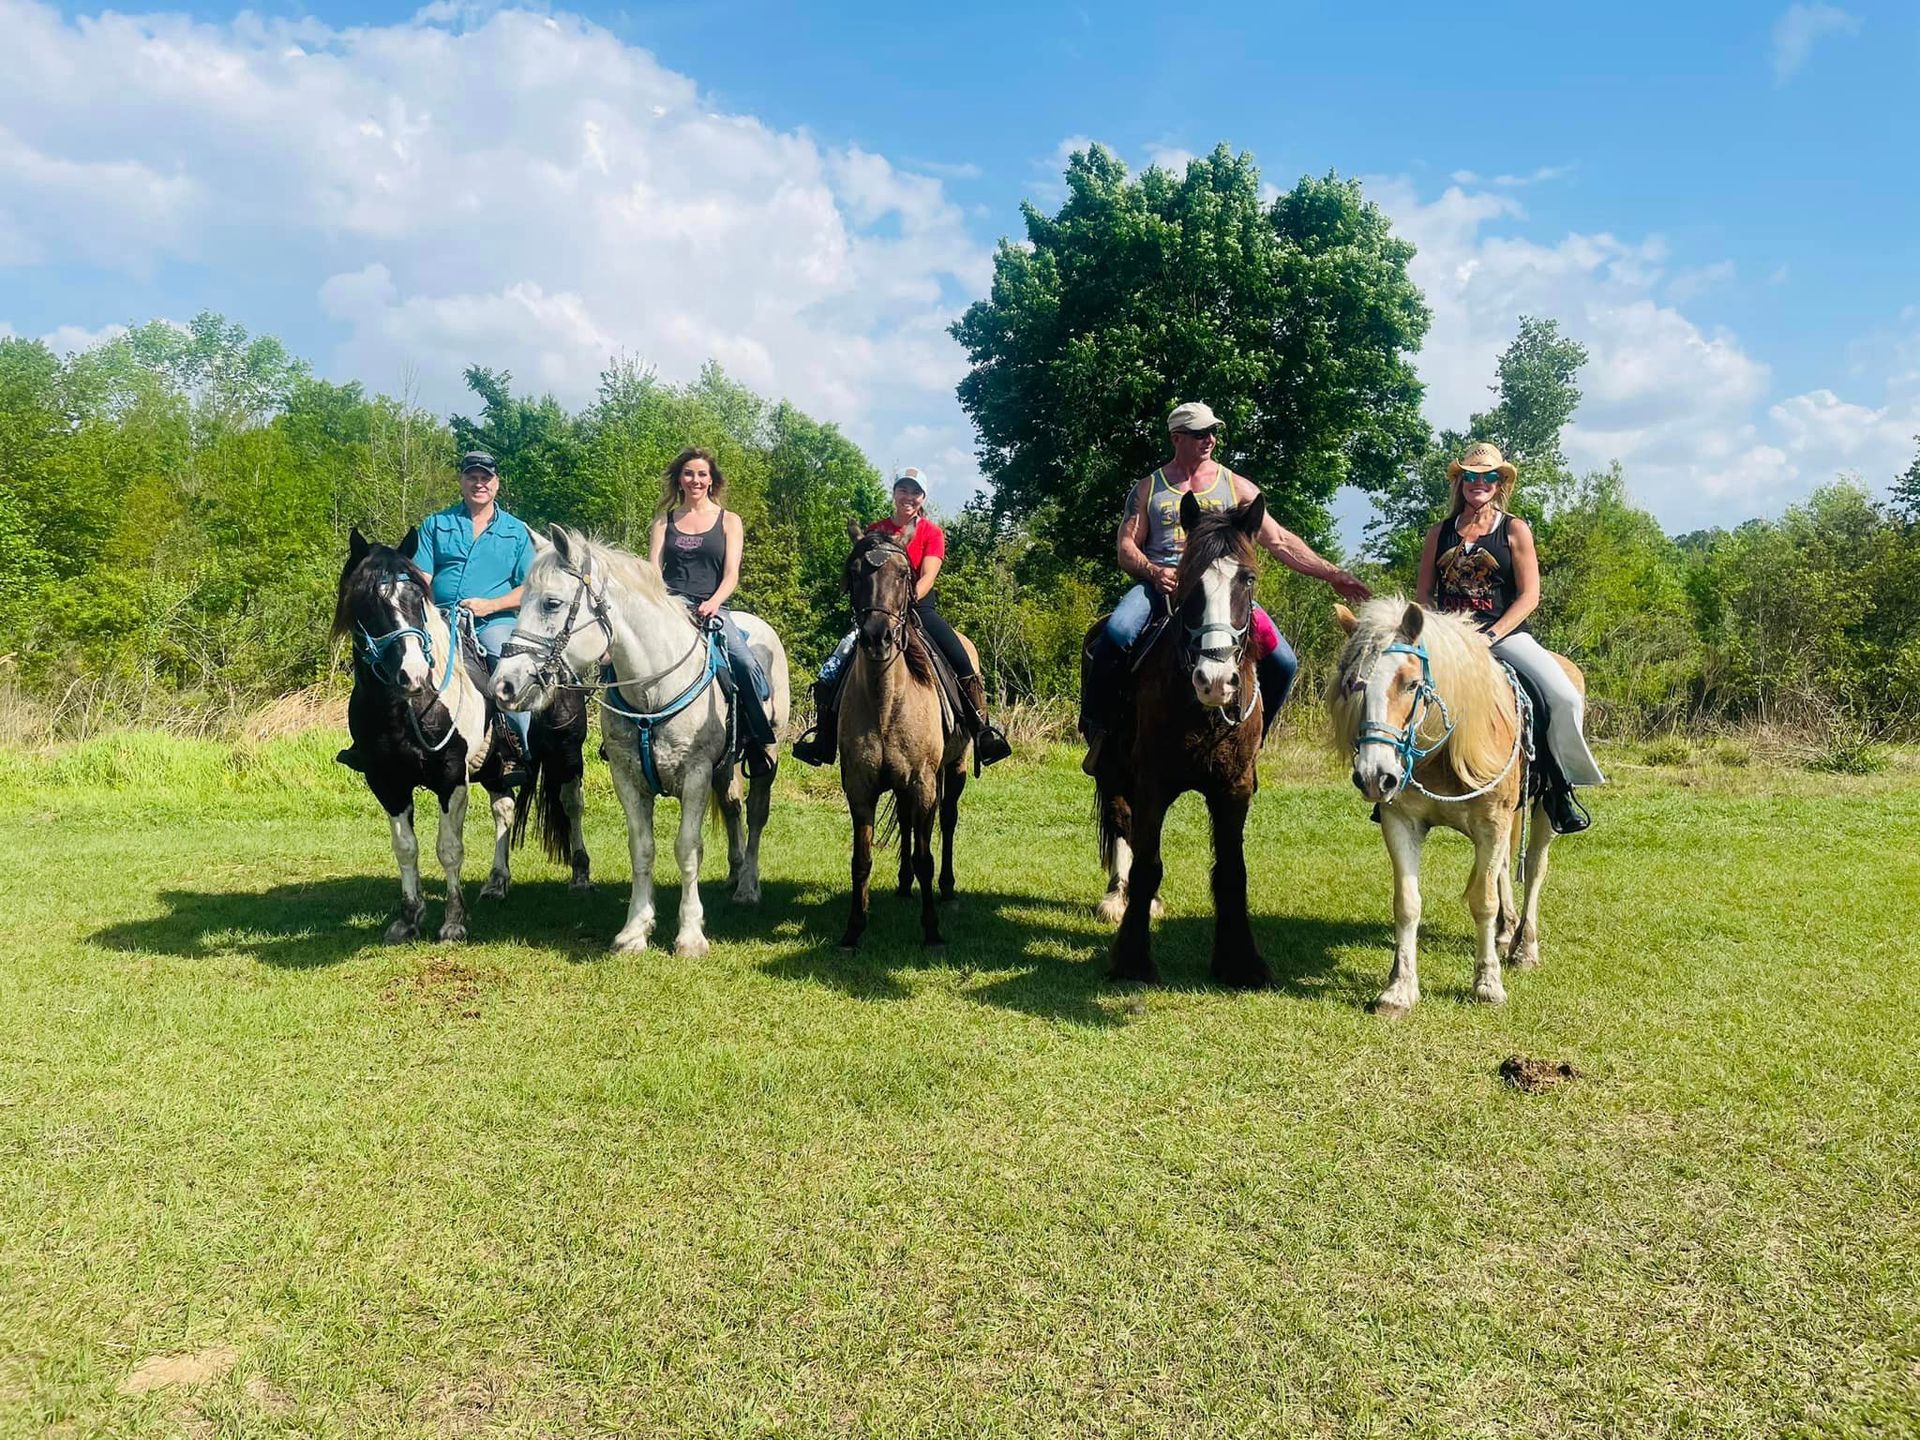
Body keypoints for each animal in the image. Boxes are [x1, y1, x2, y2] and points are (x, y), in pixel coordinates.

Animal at [332, 527, 590, 944]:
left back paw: (580, 875)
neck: (411, 707)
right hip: (496, 769)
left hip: (567, 755)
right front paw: (409, 917)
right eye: (369, 601)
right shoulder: (385, 782)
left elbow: (449, 848)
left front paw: (453, 921)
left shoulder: (451, 777)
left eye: (415, 599)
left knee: (571, 804)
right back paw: (497, 882)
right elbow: (405, 848)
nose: (413, 674)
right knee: (504, 811)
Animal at [490, 524, 791, 957]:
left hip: (766, 754)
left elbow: (687, 848)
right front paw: (634, 931)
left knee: (756, 814)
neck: (653, 690)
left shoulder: (696, 775)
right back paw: (734, 874)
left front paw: (690, 935)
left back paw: (748, 886)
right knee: (733, 807)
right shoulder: (628, 779)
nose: (504, 686)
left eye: (551, 603)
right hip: (725, 767)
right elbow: (642, 848)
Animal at [834, 519, 977, 951]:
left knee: (947, 820)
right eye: (856, 572)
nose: (877, 636)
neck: (886, 702)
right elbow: (861, 860)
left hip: (954, 768)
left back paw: (947, 889)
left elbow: (926, 856)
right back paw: (902, 883)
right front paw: (854, 928)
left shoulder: (924, 783)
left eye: (903, 574)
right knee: (906, 821)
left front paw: (931, 930)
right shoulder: (860, 786)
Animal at [1086, 494, 1270, 988]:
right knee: (1123, 825)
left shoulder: (1233, 789)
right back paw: (1119, 899)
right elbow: (1148, 865)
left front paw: (1239, 962)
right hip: (1112, 772)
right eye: (1189, 581)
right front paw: (1132, 957)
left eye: (1247, 579)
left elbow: (1233, 871)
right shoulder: (1152, 783)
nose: (1215, 680)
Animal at [1328, 598, 1572, 1018]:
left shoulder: (1493, 822)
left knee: (1535, 869)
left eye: (1411, 683)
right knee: (1504, 869)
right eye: (1353, 685)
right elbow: (1407, 903)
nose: (1374, 776)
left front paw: (1488, 985)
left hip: (1544, 810)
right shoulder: (1401, 820)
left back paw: (1525, 948)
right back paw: (1506, 933)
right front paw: (1398, 990)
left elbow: (1483, 900)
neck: (1443, 752)